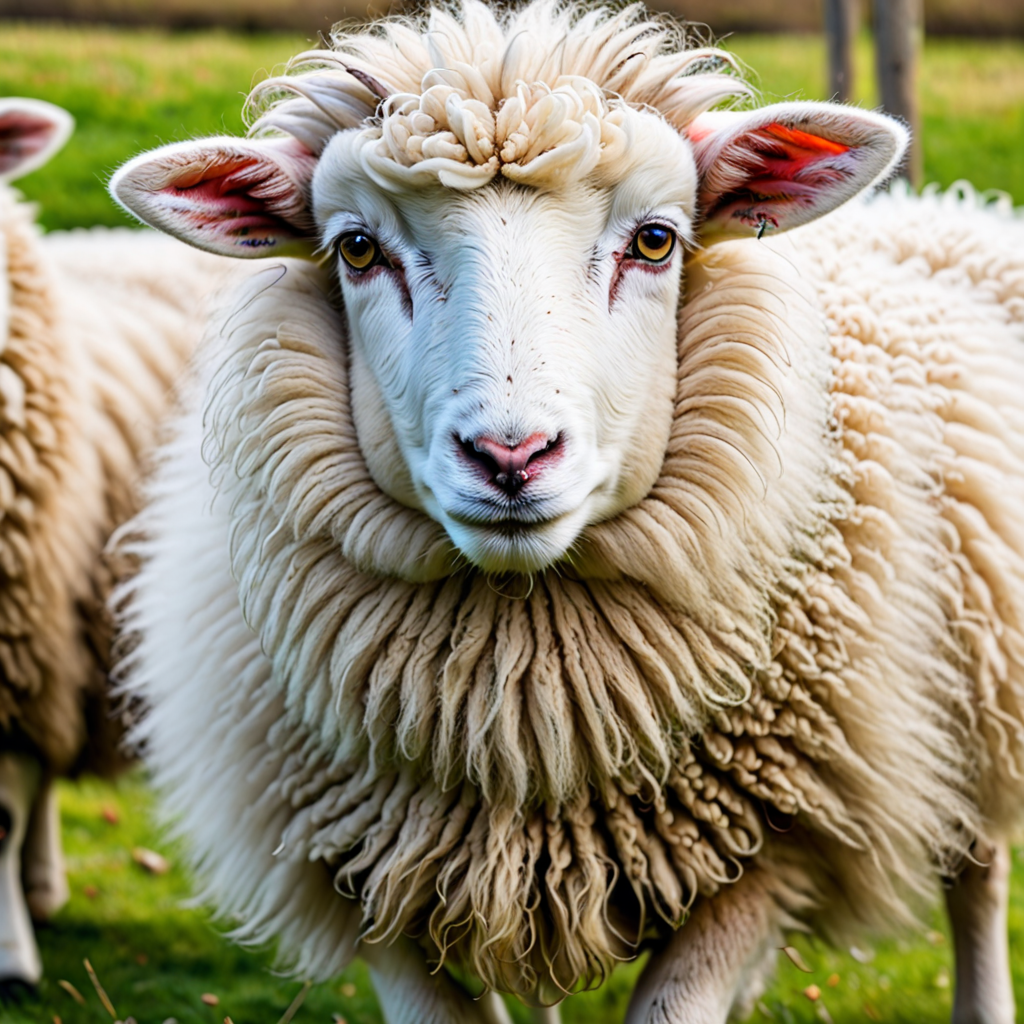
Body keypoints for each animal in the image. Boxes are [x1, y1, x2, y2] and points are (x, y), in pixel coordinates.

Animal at [109, 2, 1024, 1021]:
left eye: (656, 240)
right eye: (356, 249)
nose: (511, 457)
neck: (531, 716)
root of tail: (935, 201)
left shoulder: (768, 849)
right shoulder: (375, 881)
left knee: (978, 872)